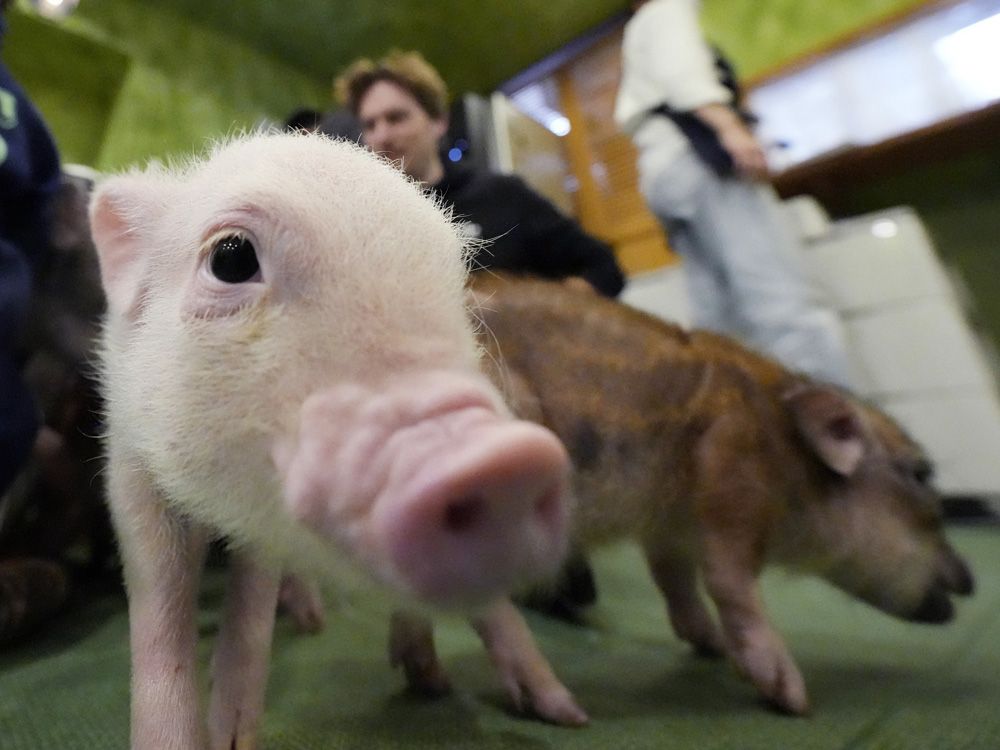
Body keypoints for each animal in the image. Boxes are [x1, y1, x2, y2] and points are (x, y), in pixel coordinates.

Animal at [90, 132, 584, 750]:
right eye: (231, 258)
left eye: (454, 289)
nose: (503, 465)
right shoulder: (128, 463)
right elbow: (160, 607)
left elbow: (252, 603)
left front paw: (233, 737)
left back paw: (551, 710)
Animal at [398, 273, 974, 716]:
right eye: (920, 474)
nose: (971, 579)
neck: (783, 453)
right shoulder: (732, 484)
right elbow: (730, 583)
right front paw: (793, 701)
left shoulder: (668, 526)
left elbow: (674, 580)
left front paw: (713, 648)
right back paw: (566, 712)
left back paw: (431, 683)